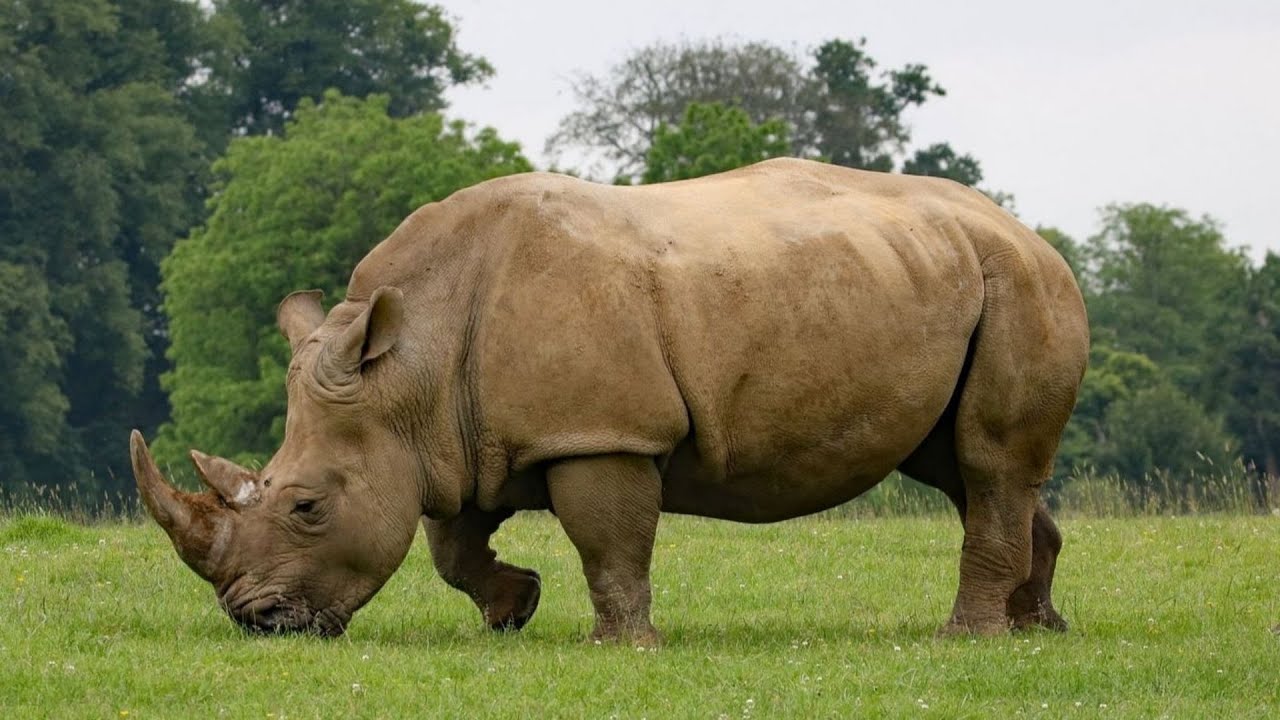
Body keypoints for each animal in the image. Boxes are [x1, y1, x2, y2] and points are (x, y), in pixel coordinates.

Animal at [130, 158, 1088, 643]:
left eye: (306, 506)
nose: (256, 623)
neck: (408, 371)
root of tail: (1030, 230)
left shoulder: (599, 431)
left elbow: (609, 541)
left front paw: (621, 646)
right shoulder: (456, 439)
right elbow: (450, 543)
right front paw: (513, 610)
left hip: (1021, 286)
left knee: (988, 461)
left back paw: (966, 639)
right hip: (941, 277)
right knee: (965, 468)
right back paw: (1039, 629)